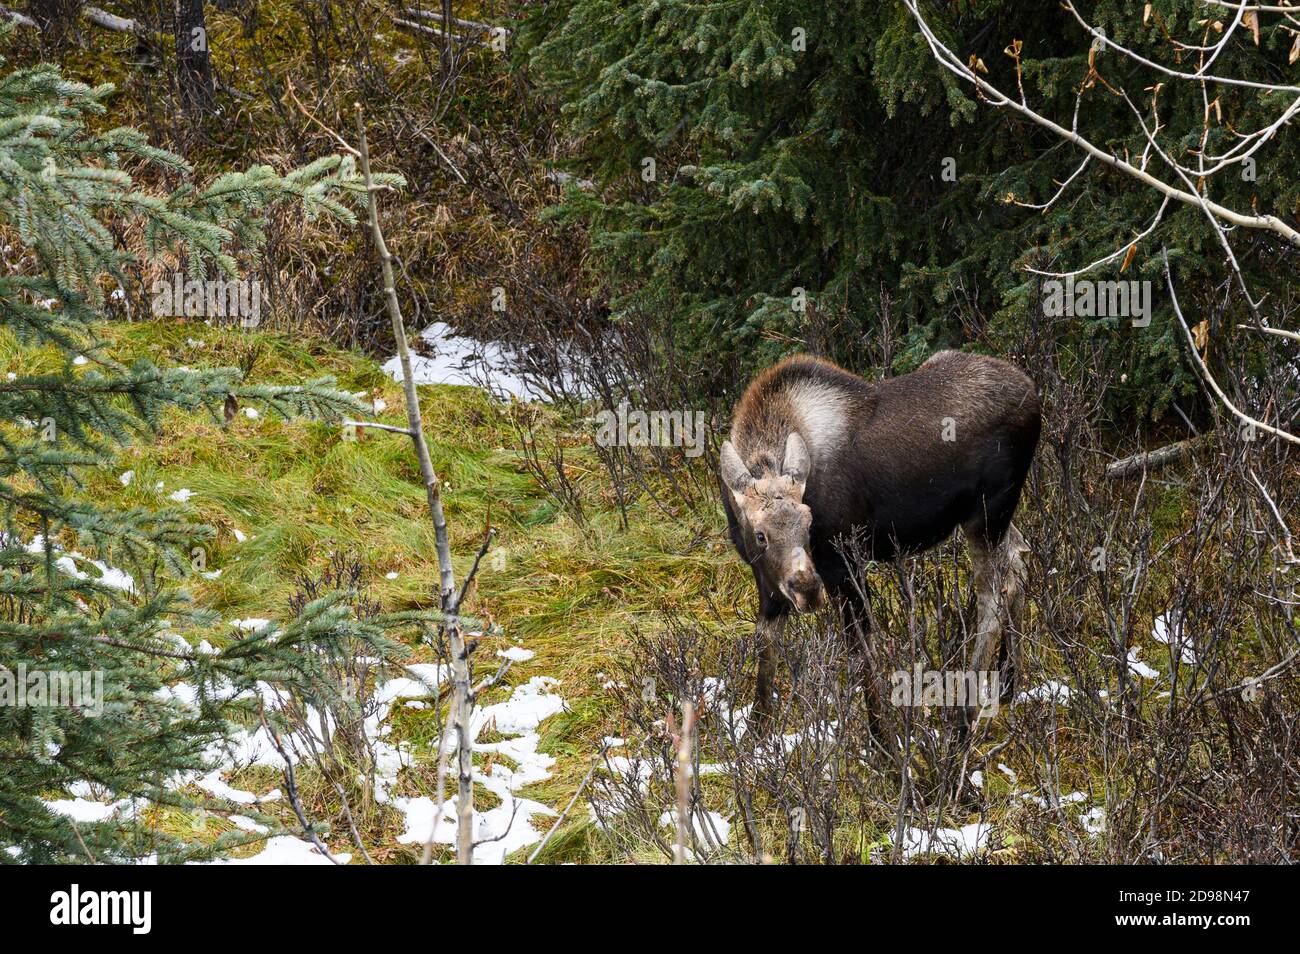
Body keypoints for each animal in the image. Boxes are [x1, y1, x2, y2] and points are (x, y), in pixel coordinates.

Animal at [719, 351, 1041, 728]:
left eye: (809, 523)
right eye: (761, 535)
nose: (807, 589)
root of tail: (1034, 394)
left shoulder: (844, 565)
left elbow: (861, 652)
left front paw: (882, 737)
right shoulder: (765, 577)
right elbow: (764, 643)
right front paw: (759, 730)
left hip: (989, 512)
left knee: (993, 595)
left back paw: (965, 715)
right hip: (993, 516)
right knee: (1019, 557)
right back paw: (1009, 683)